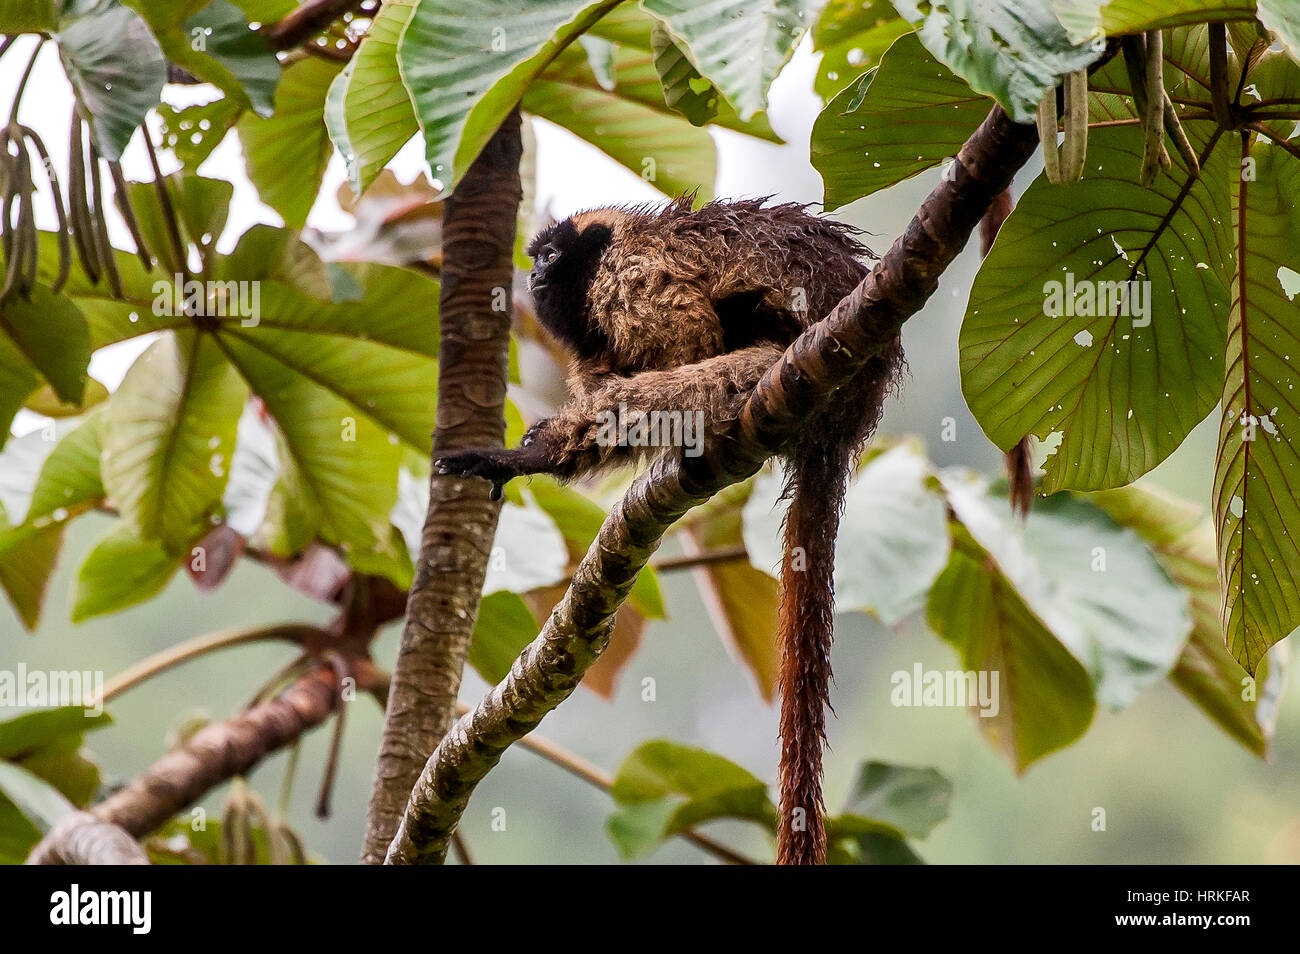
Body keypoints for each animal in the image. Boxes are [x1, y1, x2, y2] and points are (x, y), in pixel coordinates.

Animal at [435, 196, 905, 865]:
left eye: (552, 255)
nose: (536, 274)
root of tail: (853, 415)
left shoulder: (635, 280)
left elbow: (690, 332)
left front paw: (526, 457)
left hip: (807, 371)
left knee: (744, 357)